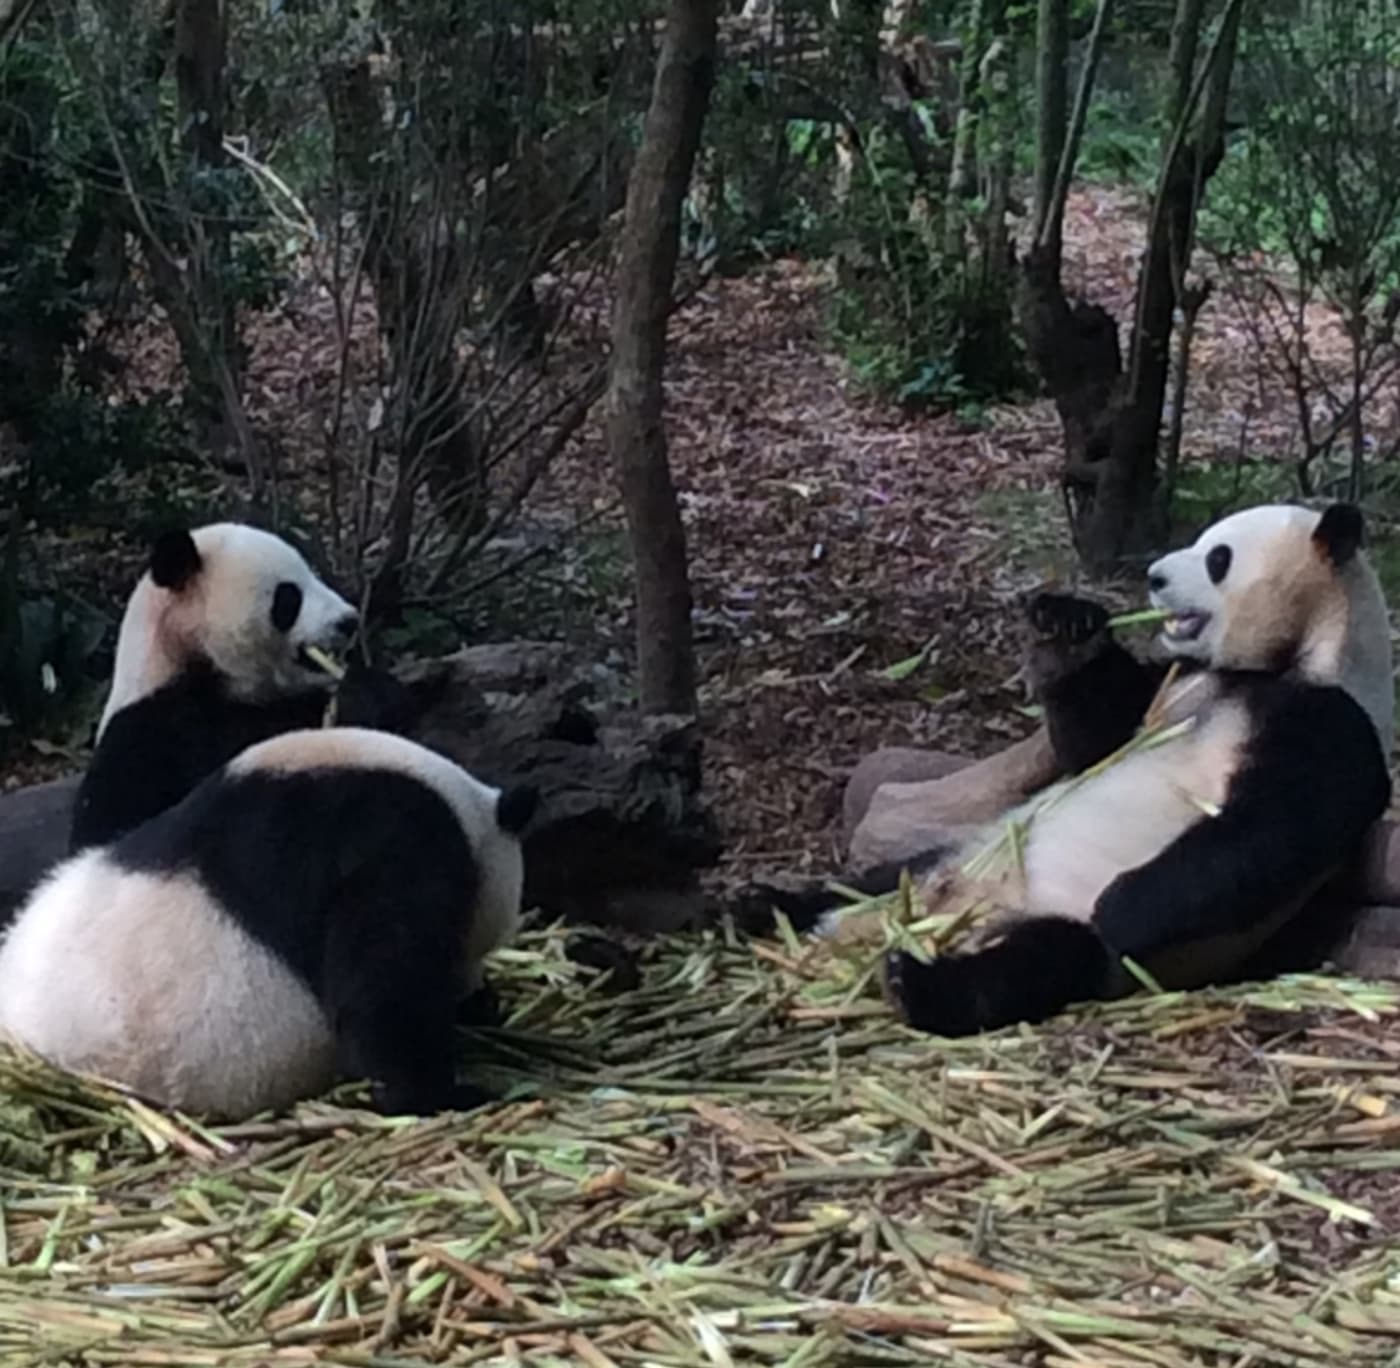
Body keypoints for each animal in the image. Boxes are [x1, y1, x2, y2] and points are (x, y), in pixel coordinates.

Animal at [768, 502, 1395, 1037]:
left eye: (1219, 557)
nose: (1154, 576)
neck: (1281, 663)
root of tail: (940, 909)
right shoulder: (1172, 686)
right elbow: (1093, 741)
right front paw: (1065, 624)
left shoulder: (1326, 722)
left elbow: (1268, 830)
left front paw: (1120, 904)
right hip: (949, 856)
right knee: (856, 885)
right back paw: (758, 907)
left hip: (1048, 922)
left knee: (1042, 962)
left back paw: (915, 983)